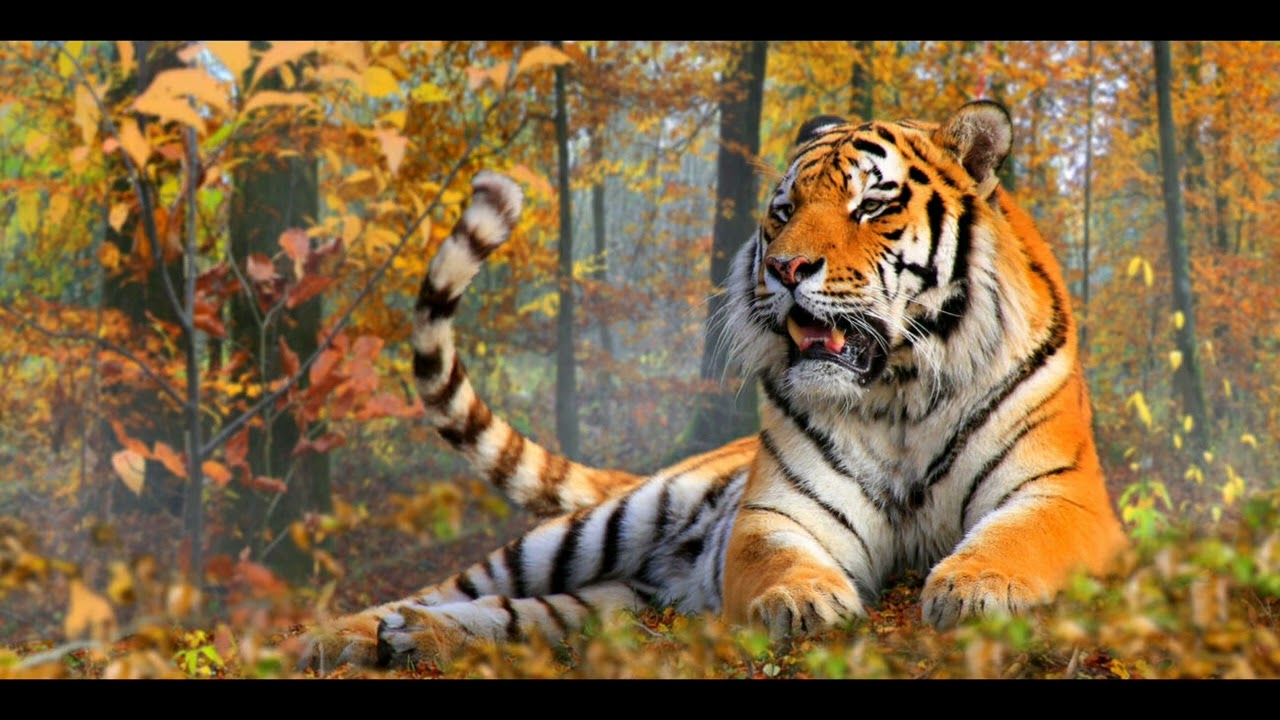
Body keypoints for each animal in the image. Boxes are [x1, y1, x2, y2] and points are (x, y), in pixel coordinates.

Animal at [298, 100, 1127, 671]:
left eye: (872, 205)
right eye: (784, 211)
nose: (786, 268)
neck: (899, 391)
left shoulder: (1063, 492)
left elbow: (1020, 534)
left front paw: (977, 586)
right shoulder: (778, 507)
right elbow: (777, 557)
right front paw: (803, 601)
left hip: (612, 606)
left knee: (515, 615)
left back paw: (411, 640)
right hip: (593, 530)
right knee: (445, 586)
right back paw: (332, 637)